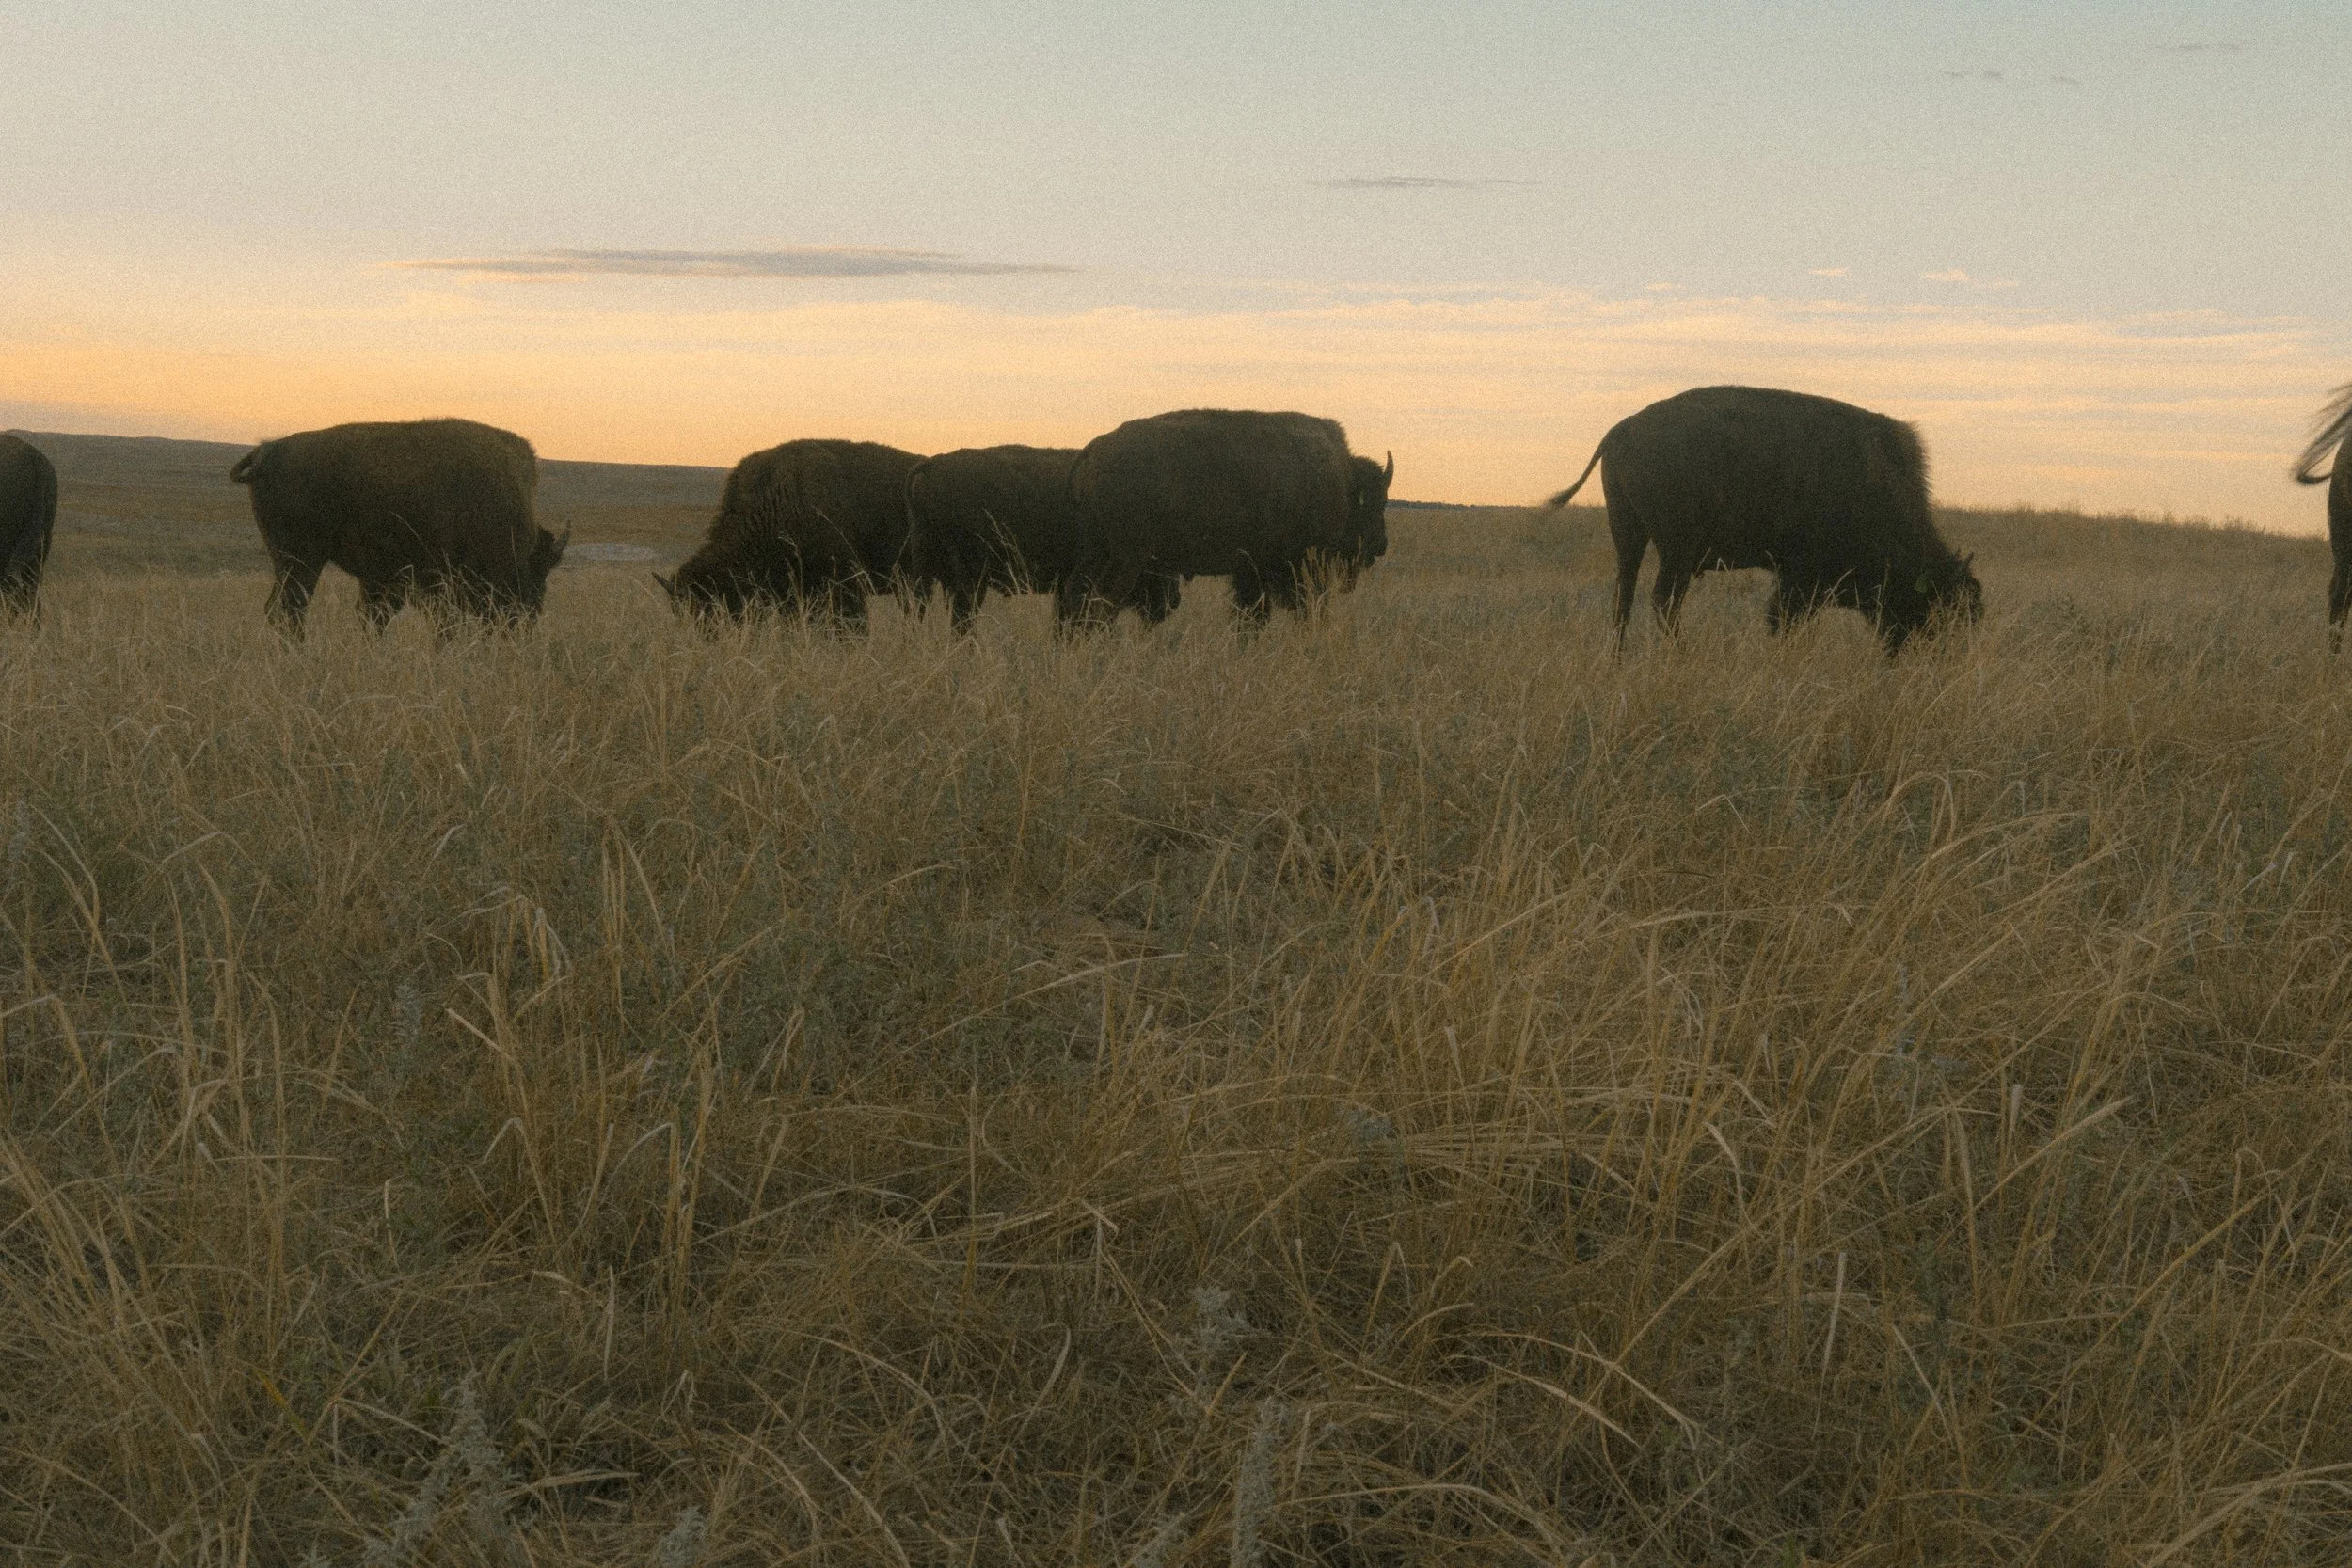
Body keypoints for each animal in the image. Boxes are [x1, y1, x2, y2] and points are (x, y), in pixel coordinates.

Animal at [230, 418, 565, 635]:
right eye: (537, 572)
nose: (528, 620)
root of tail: (267, 450)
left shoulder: (387, 580)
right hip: (301, 561)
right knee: (290, 610)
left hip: (290, 563)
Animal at [1058, 409, 1392, 629]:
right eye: (1375, 503)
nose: (1381, 545)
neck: (1343, 479)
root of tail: (1093, 450)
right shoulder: (1295, 565)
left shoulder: (1253, 571)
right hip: (1127, 558)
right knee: (1101, 603)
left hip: (1097, 552)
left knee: (1075, 596)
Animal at [1548, 385, 1982, 654]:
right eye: (1934, 610)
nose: (1933, 657)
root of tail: (1623, 429)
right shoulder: (1799, 579)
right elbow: (1784, 622)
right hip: (1677, 549)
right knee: (1663, 601)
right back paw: (1684, 655)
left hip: (1630, 535)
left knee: (1624, 594)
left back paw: (1618, 660)